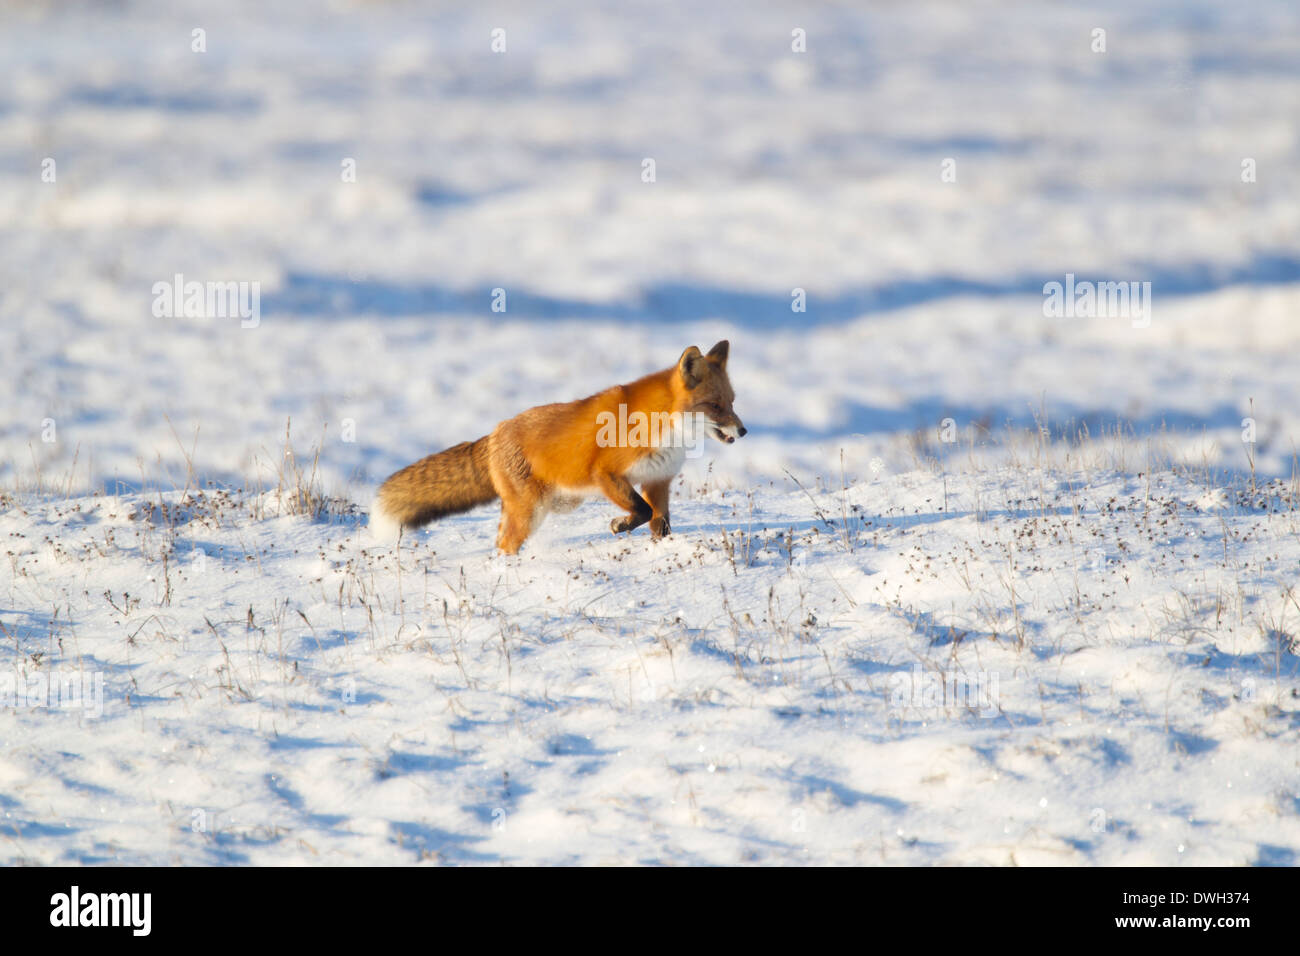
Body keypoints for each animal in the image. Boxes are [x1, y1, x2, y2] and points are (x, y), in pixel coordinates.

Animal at [371, 340, 745, 554]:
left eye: (732, 402)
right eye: (715, 406)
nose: (743, 431)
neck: (662, 426)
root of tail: (494, 433)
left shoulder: (658, 480)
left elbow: (660, 523)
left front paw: (663, 551)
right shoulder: (607, 474)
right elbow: (640, 511)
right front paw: (619, 526)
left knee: (499, 538)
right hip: (532, 511)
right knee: (505, 543)